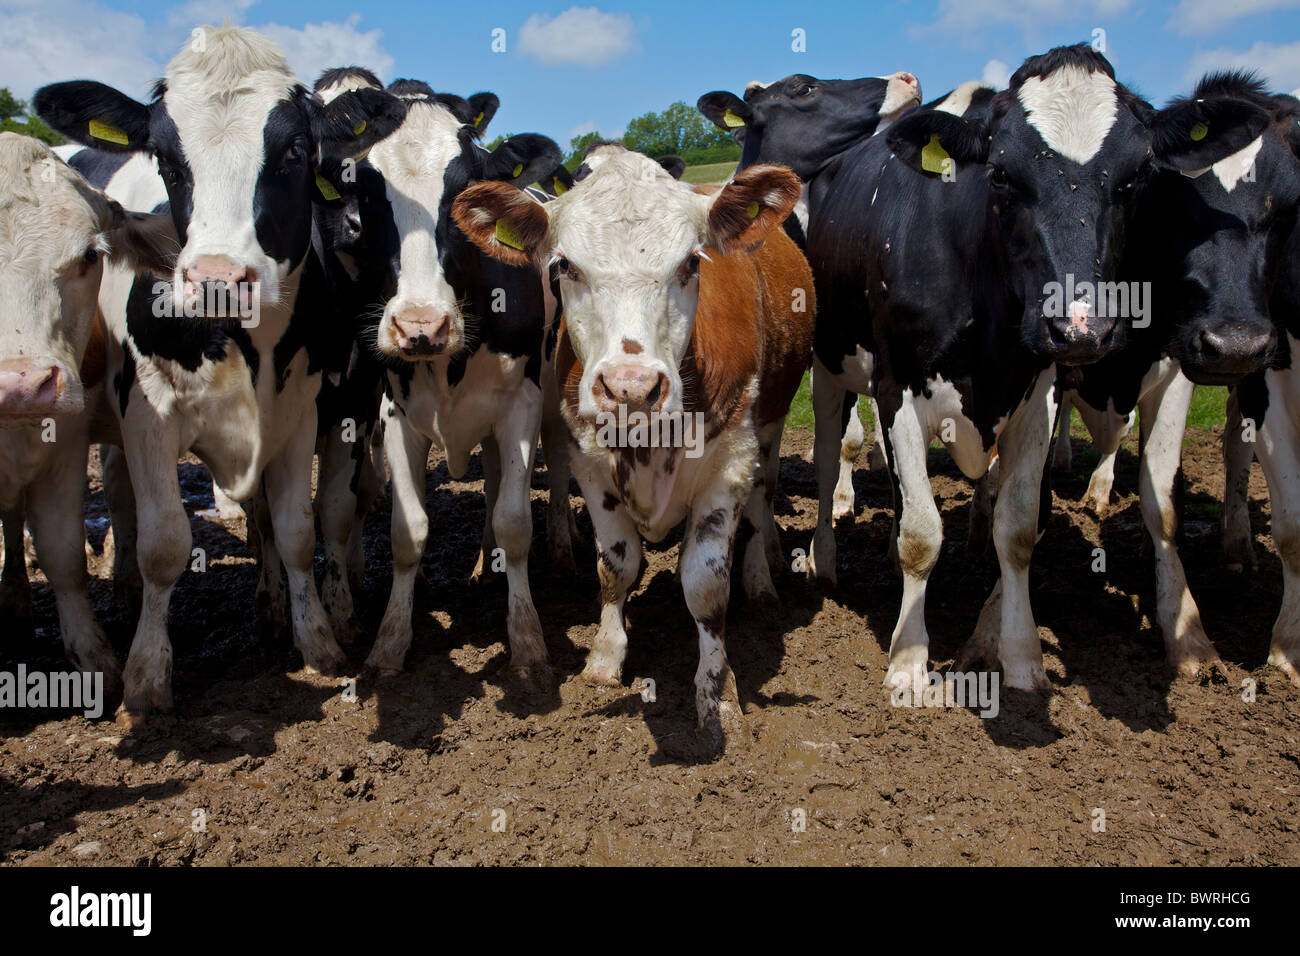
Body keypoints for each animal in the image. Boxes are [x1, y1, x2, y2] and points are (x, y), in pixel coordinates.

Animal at [34, 25, 407, 721]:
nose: (217, 280)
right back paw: (125, 595)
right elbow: (163, 543)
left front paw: (315, 638)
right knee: (122, 500)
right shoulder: (146, 414)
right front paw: (147, 674)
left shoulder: (302, 412)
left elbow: (296, 527)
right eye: (164, 157)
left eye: (294, 150)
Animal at [451, 145, 814, 748]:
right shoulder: (590, 464)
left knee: (763, 498)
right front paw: (605, 657)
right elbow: (616, 565)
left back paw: (763, 579)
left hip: (771, 424)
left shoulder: (729, 464)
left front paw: (718, 696)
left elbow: (705, 586)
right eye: (564, 267)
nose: (631, 388)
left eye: (692, 263)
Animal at [1065, 74, 1298, 679]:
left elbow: (1163, 505)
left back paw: (1234, 543)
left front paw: (1186, 632)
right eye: (1170, 203)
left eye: (1287, 210)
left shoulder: (1179, 373)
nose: (1235, 342)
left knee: (1235, 450)